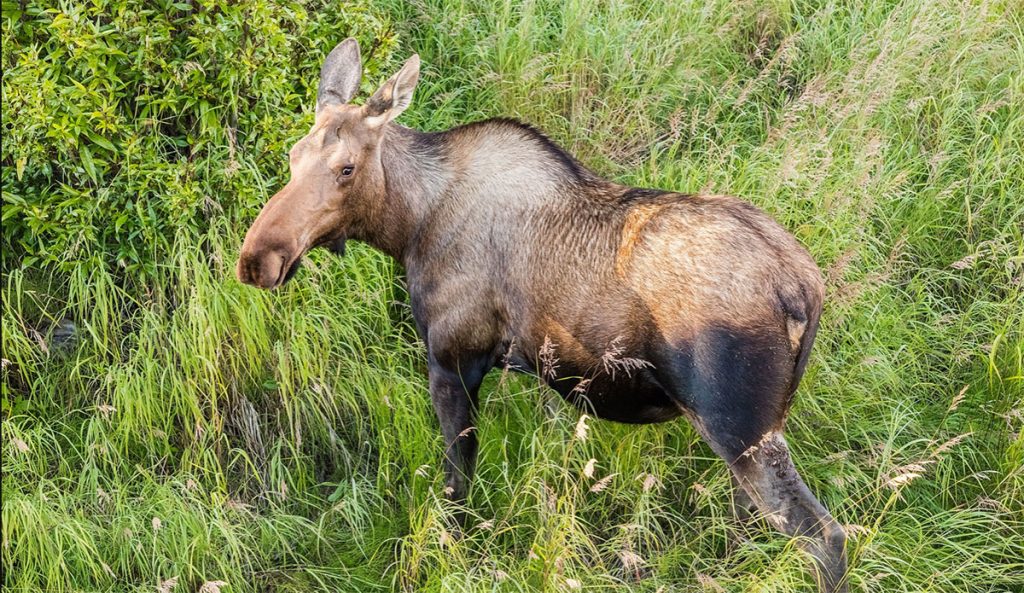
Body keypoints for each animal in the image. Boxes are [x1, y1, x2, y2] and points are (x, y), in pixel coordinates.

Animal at [237, 38, 848, 592]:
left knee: (826, 536)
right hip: (754, 427)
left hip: (737, 423)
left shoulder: (452, 361)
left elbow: (456, 488)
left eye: (346, 168)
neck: (407, 224)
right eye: (292, 156)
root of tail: (804, 290)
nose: (258, 260)